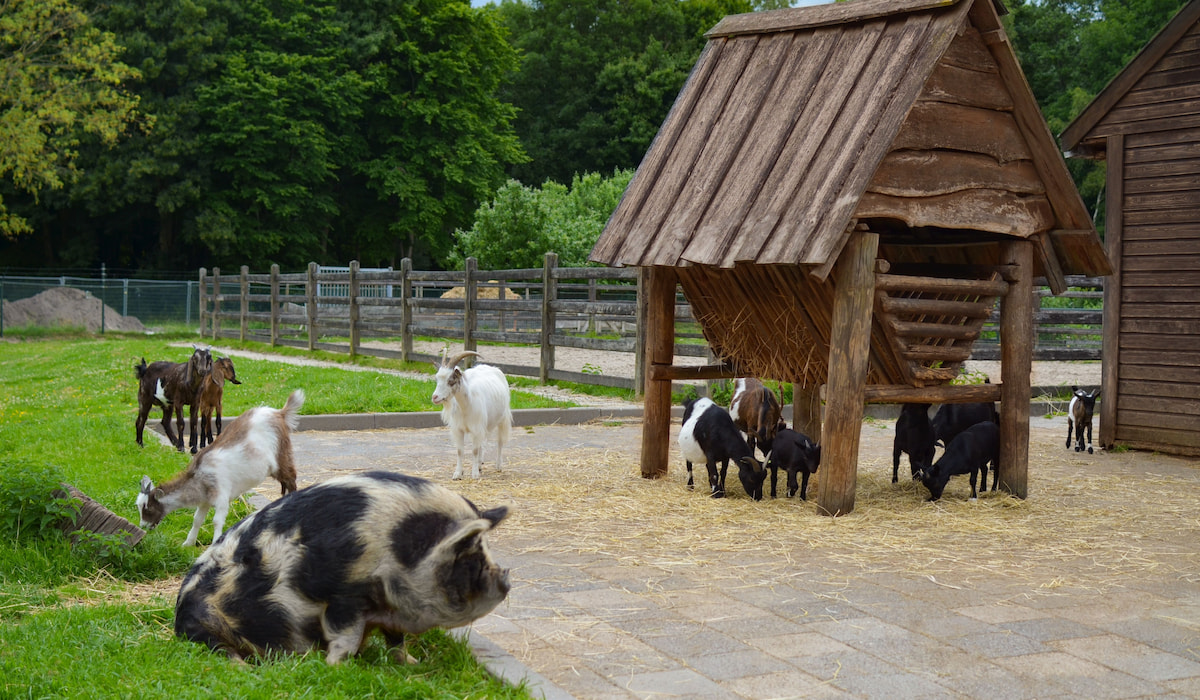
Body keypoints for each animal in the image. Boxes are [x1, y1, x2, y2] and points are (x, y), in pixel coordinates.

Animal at [137, 389, 303, 546]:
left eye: (148, 508)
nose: (143, 526)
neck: (200, 477)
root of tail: (279, 413)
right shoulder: (204, 500)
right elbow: (197, 519)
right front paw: (188, 543)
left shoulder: (222, 496)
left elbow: (217, 521)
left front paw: (214, 542)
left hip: (281, 456)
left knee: (291, 479)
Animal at [173, 471, 510, 665]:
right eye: (470, 558)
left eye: (484, 550)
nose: (506, 578)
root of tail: (178, 610)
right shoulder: (343, 595)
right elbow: (345, 636)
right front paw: (338, 666)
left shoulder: (389, 612)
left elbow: (396, 641)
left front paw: (413, 664)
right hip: (201, 625)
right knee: (218, 648)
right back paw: (243, 666)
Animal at [431, 350, 512, 480]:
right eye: (437, 379)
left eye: (451, 381)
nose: (435, 397)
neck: (466, 406)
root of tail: (492, 368)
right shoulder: (459, 429)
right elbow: (460, 451)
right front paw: (458, 473)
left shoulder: (477, 428)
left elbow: (474, 451)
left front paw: (474, 474)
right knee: (482, 444)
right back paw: (479, 465)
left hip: (502, 419)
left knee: (500, 442)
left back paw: (498, 465)